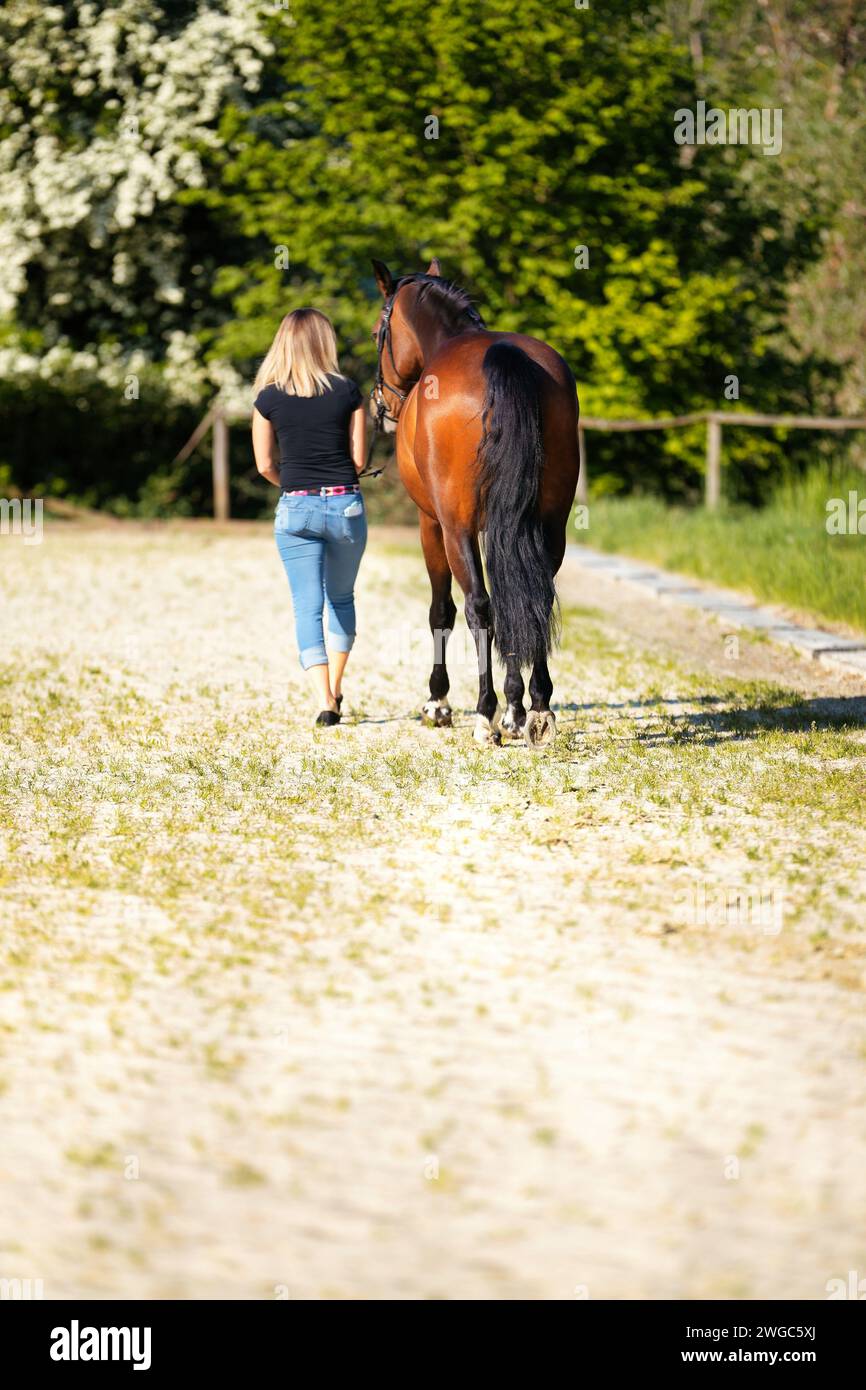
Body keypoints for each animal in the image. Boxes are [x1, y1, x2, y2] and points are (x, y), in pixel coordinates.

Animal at [369, 258, 579, 747]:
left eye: (375, 334)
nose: (380, 406)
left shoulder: (432, 524)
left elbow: (442, 610)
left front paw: (439, 702)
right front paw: (516, 710)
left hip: (456, 527)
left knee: (478, 607)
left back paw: (485, 714)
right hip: (549, 525)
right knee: (535, 599)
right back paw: (538, 710)